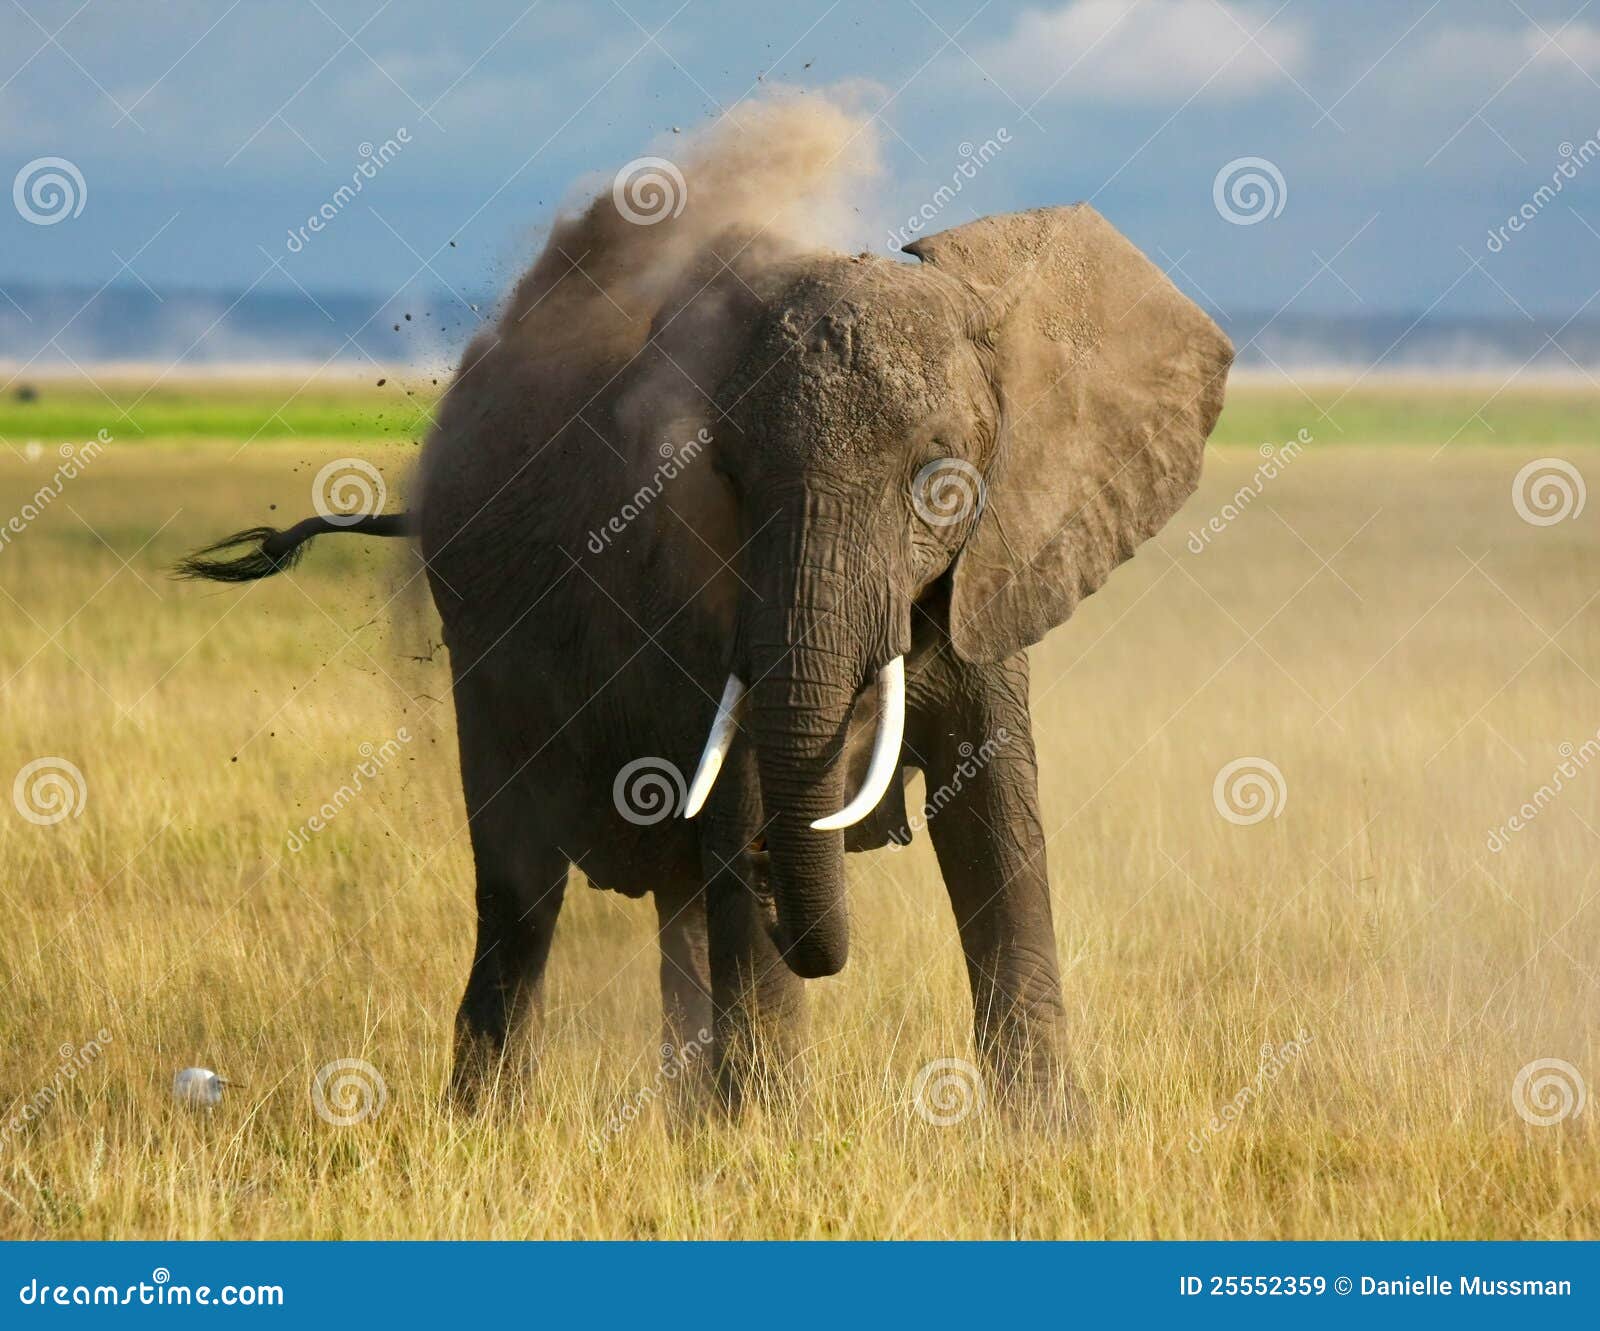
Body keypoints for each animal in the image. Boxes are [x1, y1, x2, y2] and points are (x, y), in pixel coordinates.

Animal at [179, 191, 1232, 1119]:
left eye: (941, 478)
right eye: (727, 474)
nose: (771, 875)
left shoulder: (996, 558)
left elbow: (997, 816)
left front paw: (1048, 1135)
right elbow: (746, 793)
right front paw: (775, 1144)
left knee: (673, 897)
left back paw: (681, 1114)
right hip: (476, 637)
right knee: (522, 885)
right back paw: (492, 1125)